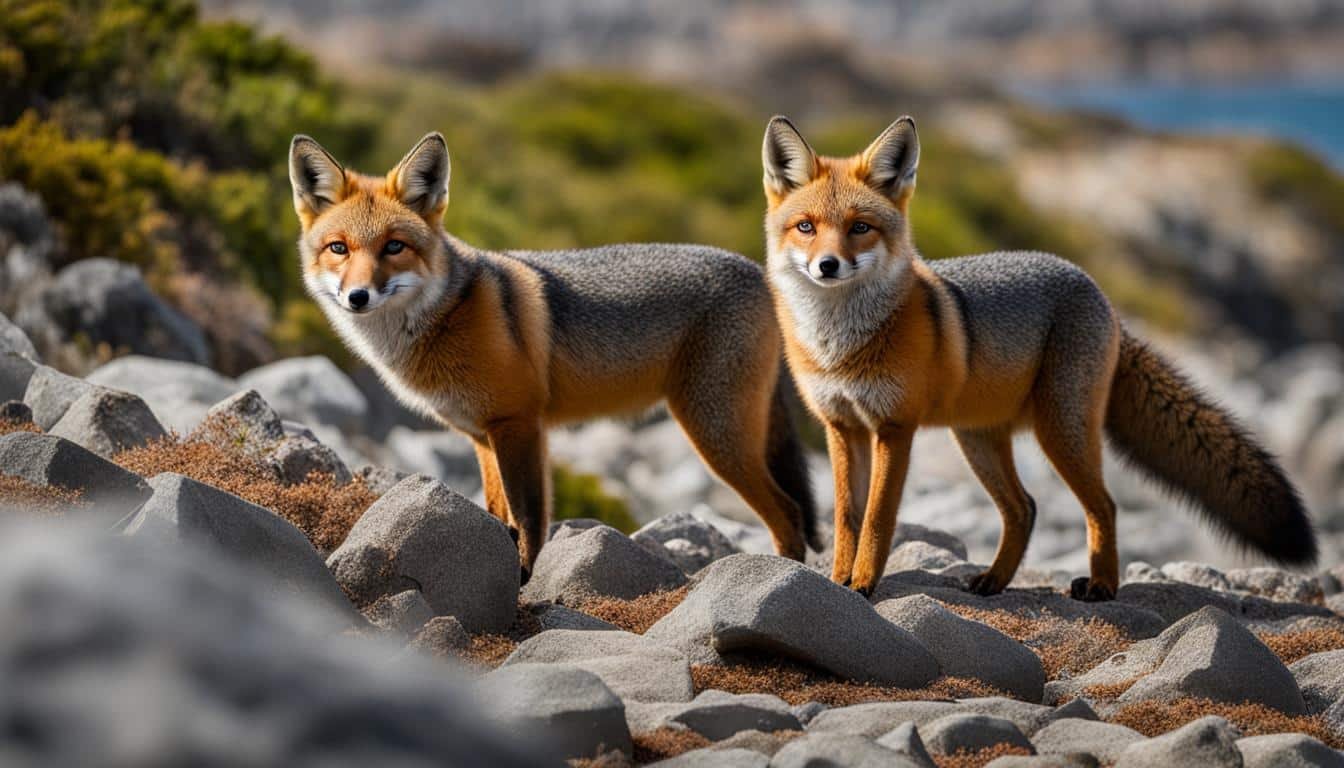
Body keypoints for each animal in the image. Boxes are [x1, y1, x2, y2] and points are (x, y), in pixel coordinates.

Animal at [287, 132, 819, 579]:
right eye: (339, 248)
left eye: (394, 247)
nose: (358, 297)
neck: (447, 318)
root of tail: (760, 272)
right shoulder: (483, 436)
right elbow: (498, 514)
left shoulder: (520, 423)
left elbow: (529, 519)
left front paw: (522, 584)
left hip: (715, 433)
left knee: (790, 513)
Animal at [760, 115, 1317, 600]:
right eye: (806, 227)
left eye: (860, 228)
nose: (827, 266)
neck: (840, 348)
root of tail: (1100, 294)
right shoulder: (841, 427)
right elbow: (846, 517)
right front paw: (838, 581)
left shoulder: (894, 428)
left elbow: (877, 517)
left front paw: (863, 584)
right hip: (979, 439)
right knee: (1023, 508)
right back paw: (995, 580)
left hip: (1060, 430)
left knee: (1103, 506)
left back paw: (1102, 586)